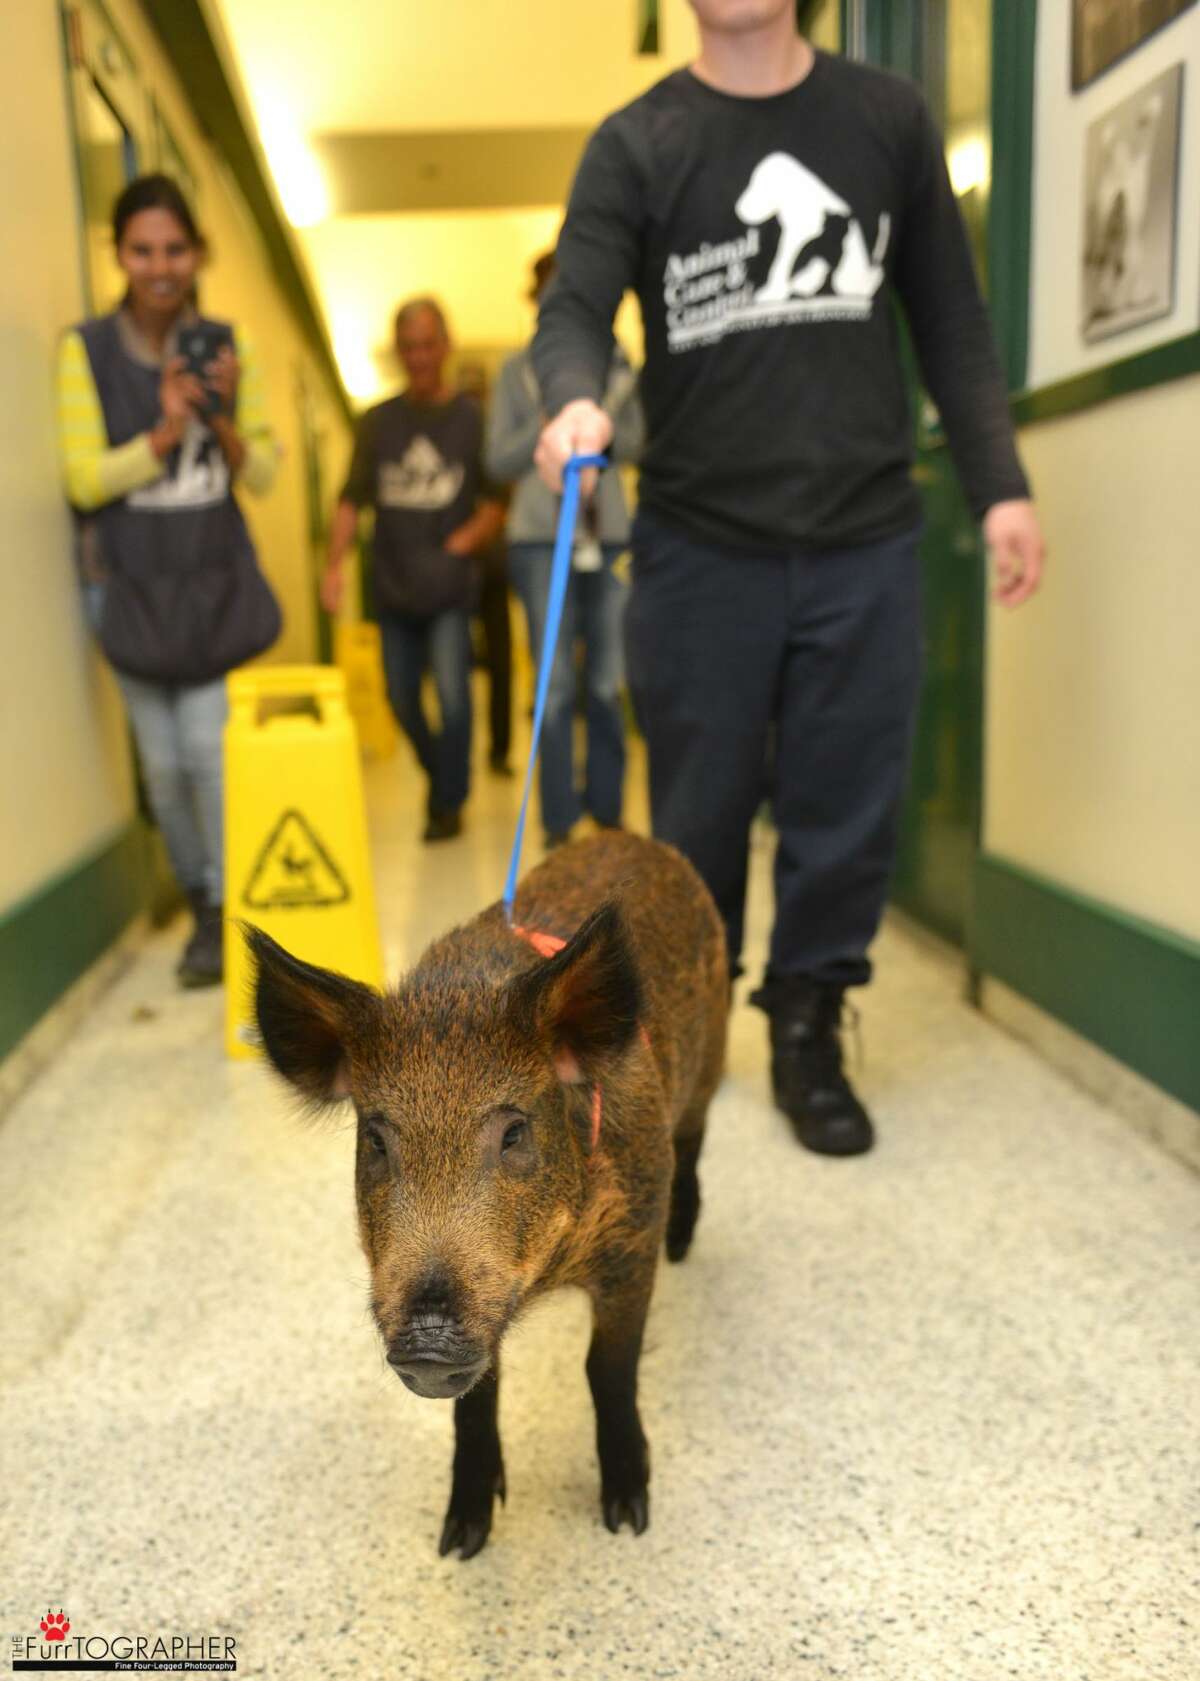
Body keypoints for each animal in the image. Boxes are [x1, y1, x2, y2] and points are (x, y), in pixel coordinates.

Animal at [246, 830, 728, 1559]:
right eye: (376, 1138)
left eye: (514, 1130)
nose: (429, 1339)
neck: (551, 1273)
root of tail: (635, 838)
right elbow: (477, 1398)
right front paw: (460, 1540)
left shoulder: (631, 1244)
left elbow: (608, 1368)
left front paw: (627, 1517)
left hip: (712, 1054)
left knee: (698, 1134)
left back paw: (686, 1239)